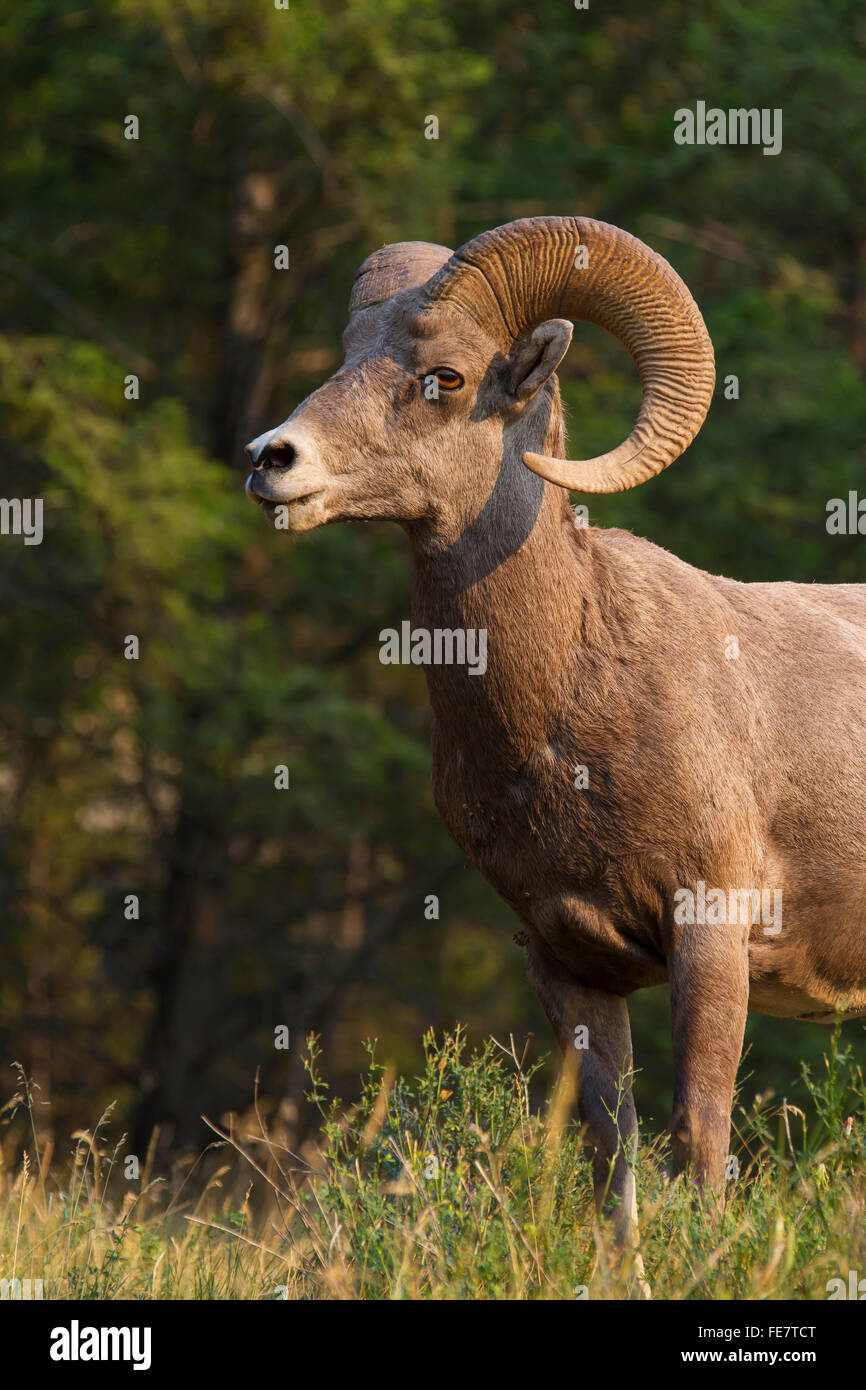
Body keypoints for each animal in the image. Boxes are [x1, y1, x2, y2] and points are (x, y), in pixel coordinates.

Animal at [244, 216, 866, 1289]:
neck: (564, 720)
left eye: (445, 378)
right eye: (347, 357)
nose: (270, 459)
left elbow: (698, 1147)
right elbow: (612, 1166)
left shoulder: (711, 939)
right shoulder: (567, 964)